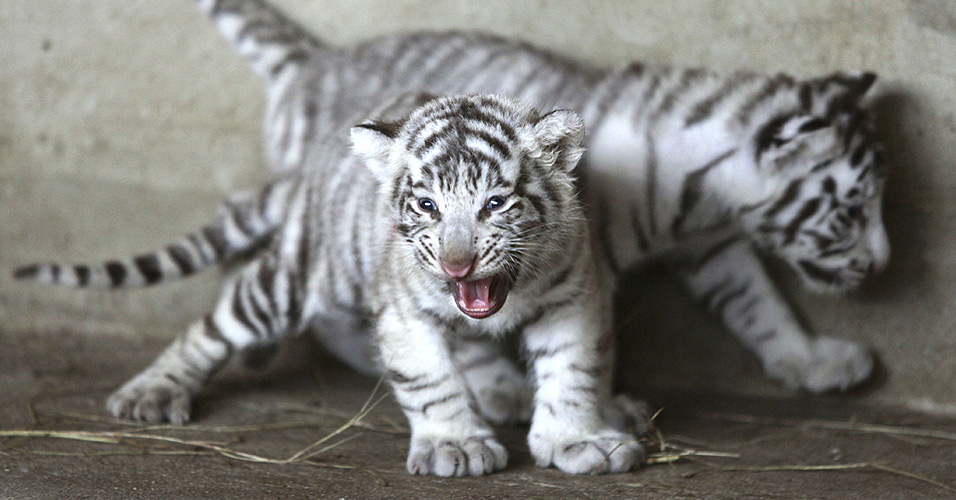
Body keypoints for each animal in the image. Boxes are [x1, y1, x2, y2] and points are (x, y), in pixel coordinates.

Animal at [15, 92, 643, 476]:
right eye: (427, 206)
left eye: (494, 203)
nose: (457, 266)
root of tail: (309, 163)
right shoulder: (402, 310)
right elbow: (428, 378)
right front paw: (454, 444)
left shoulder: (574, 296)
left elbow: (572, 371)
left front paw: (577, 438)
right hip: (289, 280)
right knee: (209, 328)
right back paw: (152, 392)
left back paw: (514, 392)